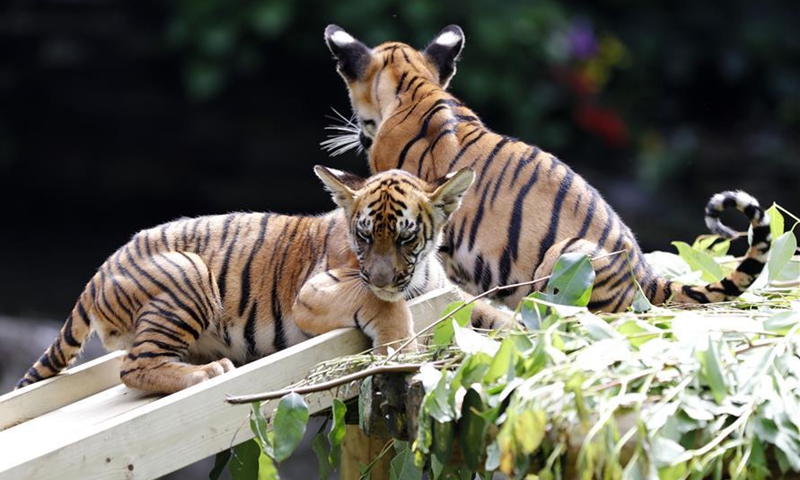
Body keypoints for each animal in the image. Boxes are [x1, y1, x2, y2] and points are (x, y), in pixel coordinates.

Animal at [16, 166, 478, 394]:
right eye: (364, 236)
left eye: (405, 237)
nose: (381, 276)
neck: (418, 271)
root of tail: (100, 271)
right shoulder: (314, 292)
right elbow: (383, 303)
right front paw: (400, 350)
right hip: (190, 273)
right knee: (134, 366)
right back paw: (206, 373)